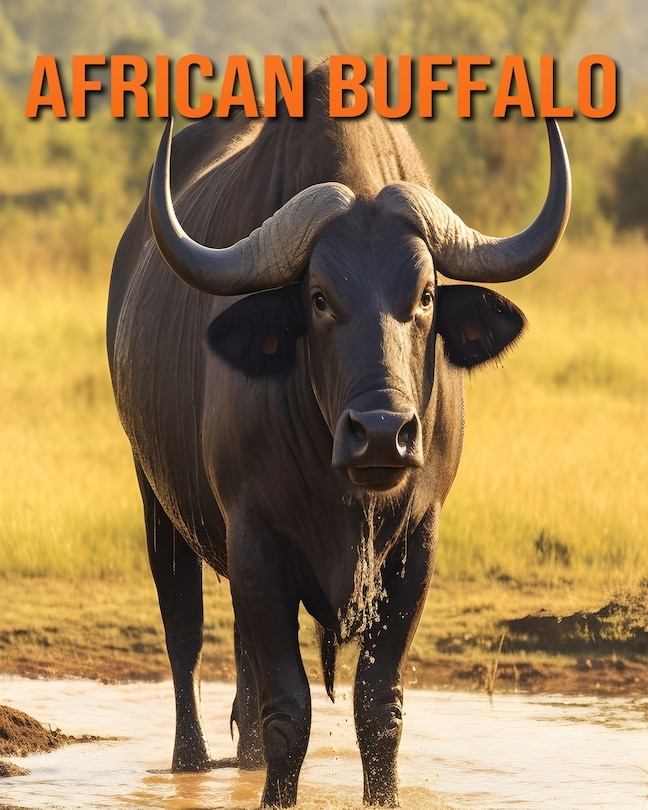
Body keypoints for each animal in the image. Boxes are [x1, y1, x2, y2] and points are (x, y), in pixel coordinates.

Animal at [107, 64, 570, 807]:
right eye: (319, 298)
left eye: (426, 295)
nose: (382, 433)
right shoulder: (256, 536)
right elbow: (289, 708)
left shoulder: (415, 545)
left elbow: (377, 707)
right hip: (155, 498)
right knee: (184, 634)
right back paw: (192, 760)